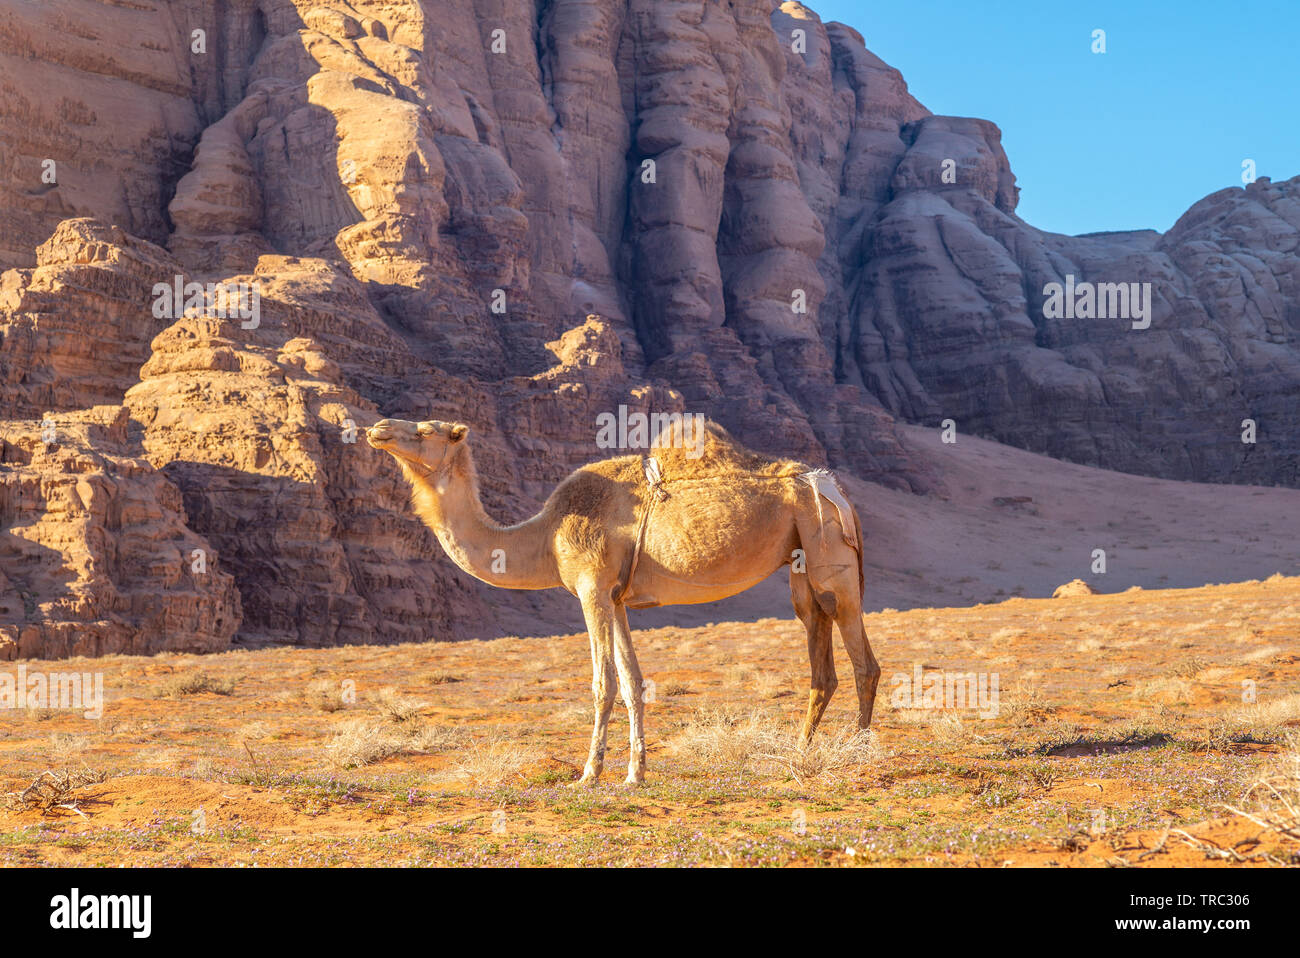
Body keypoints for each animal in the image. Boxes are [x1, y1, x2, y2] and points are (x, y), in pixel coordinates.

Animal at [366, 416, 880, 785]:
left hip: (825, 547)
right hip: (801, 559)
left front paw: (589, 774)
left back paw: (857, 752)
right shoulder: (614, 597)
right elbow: (633, 682)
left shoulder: (591, 588)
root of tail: (833, 487)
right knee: (820, 652)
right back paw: (800, 750)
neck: (544, 536)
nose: (377, 428)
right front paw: (636, 773)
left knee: (861, 656)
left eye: (426, 429)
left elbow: (603, 683)